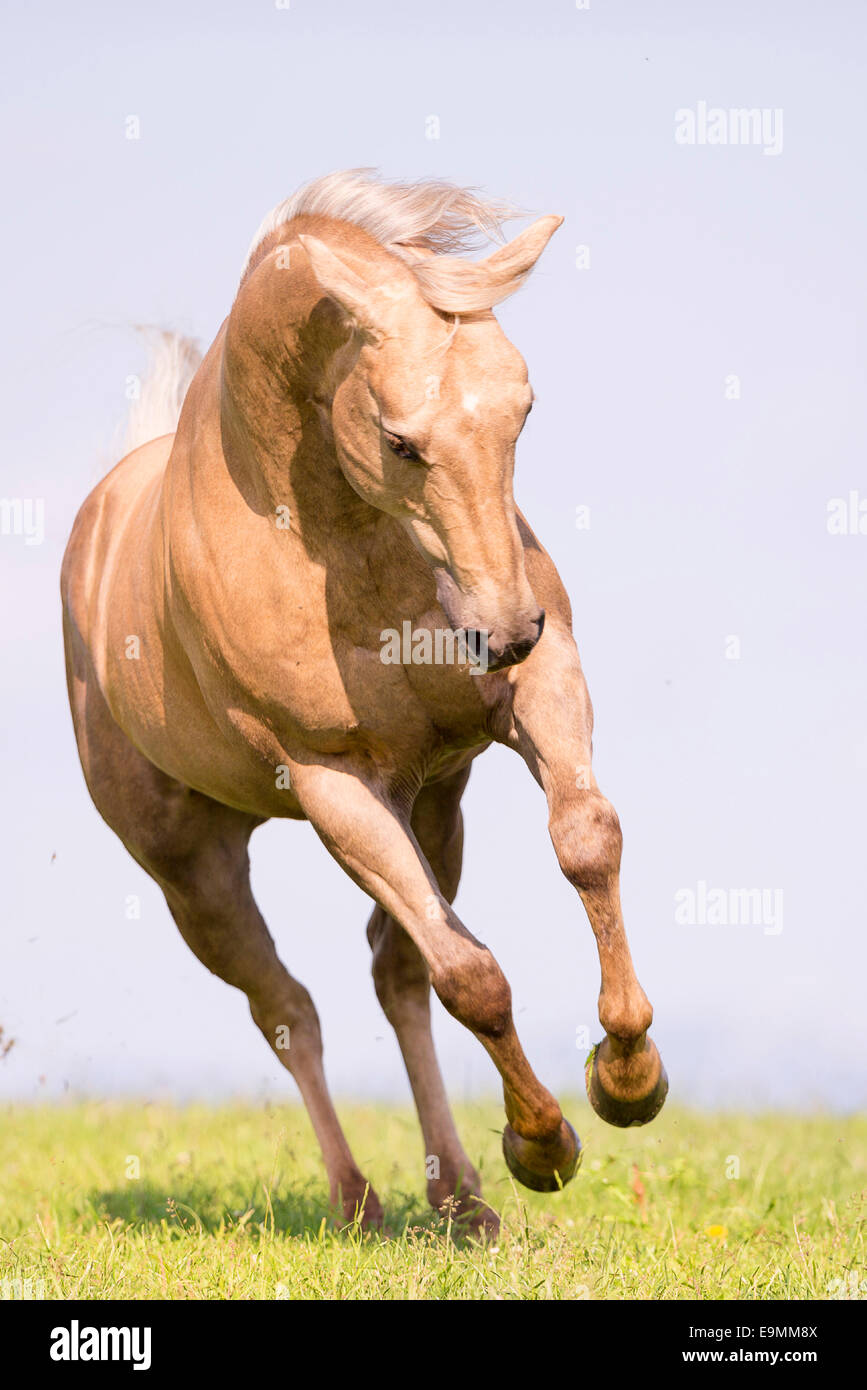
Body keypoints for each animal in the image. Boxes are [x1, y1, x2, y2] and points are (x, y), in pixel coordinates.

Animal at [61, 170, 667, 1236]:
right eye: (399, 440)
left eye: (523, 408)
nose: (503, 629)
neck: (346, 549)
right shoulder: (333, 783)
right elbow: (472, 976)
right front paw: (543, 1146)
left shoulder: (536, 690)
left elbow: (586, 843)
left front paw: (627, 1078)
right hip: (191, 868)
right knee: (287, 1010)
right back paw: (359, 1201)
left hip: (434, 803)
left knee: (395, 972)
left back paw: (460, 1196)